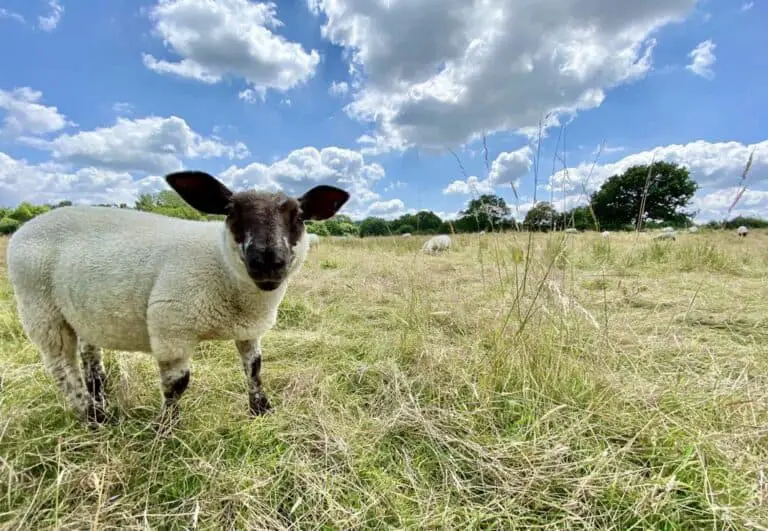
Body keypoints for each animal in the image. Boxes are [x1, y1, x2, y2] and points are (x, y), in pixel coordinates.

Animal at [6, 171, 350, 427]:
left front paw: (261, 410)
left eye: (299, 216)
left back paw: (101, 402)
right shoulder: (171, 329)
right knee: (62, 369)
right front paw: (166, 430)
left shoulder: (249, 329)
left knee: (90, 355)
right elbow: (177, 385)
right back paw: (91, 418)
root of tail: (26, 226)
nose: (267, 261)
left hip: (81, 310)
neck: (223, 268)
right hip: (41, 310)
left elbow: (254, 368)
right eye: (231, 211)